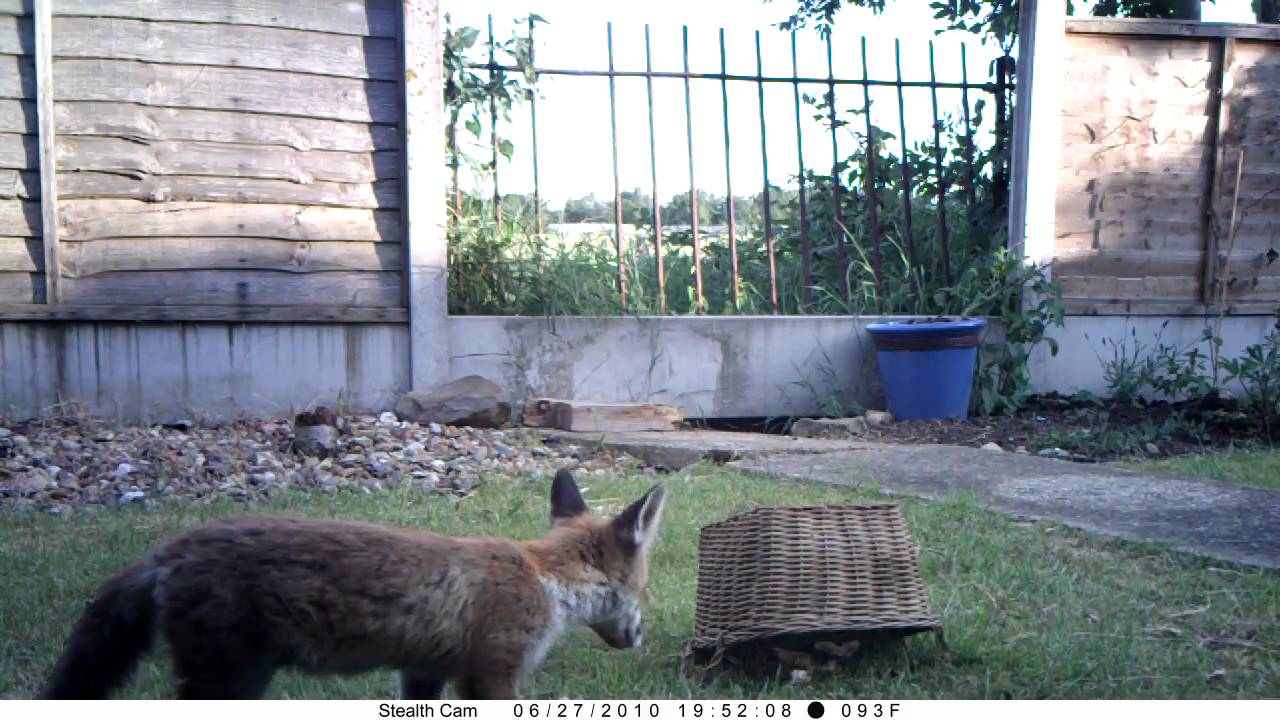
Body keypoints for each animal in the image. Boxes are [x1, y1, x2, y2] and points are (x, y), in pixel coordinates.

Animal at [40, 469, 666, 700]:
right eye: (644, 591)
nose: (640, 639)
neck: (544, 579)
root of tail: (168, 550)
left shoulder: (423, 673)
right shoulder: (491, 678)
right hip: (232, 678)